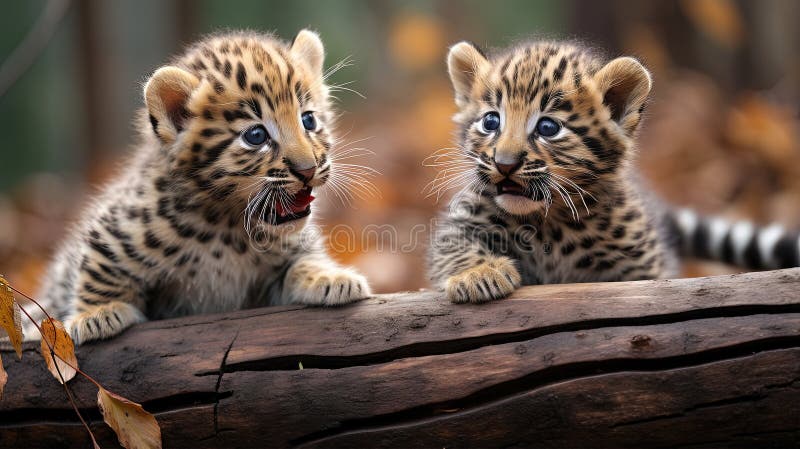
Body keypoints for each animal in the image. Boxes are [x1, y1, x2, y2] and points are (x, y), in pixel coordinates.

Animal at [24, 29, 372, 344]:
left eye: (309, 120)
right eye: (256, 136)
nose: (308, 169)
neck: (230, 227)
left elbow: (303, 260)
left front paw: (331, 277)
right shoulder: (116, 229)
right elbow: (98, 265)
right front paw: (97, 313)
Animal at [427, 39, 800, 304]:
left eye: (548, 127)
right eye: (491, 121)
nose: (504, 164)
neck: (548, 224)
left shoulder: (642, 264)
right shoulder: (464, 219)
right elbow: (451, 245)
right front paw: (479, 274)